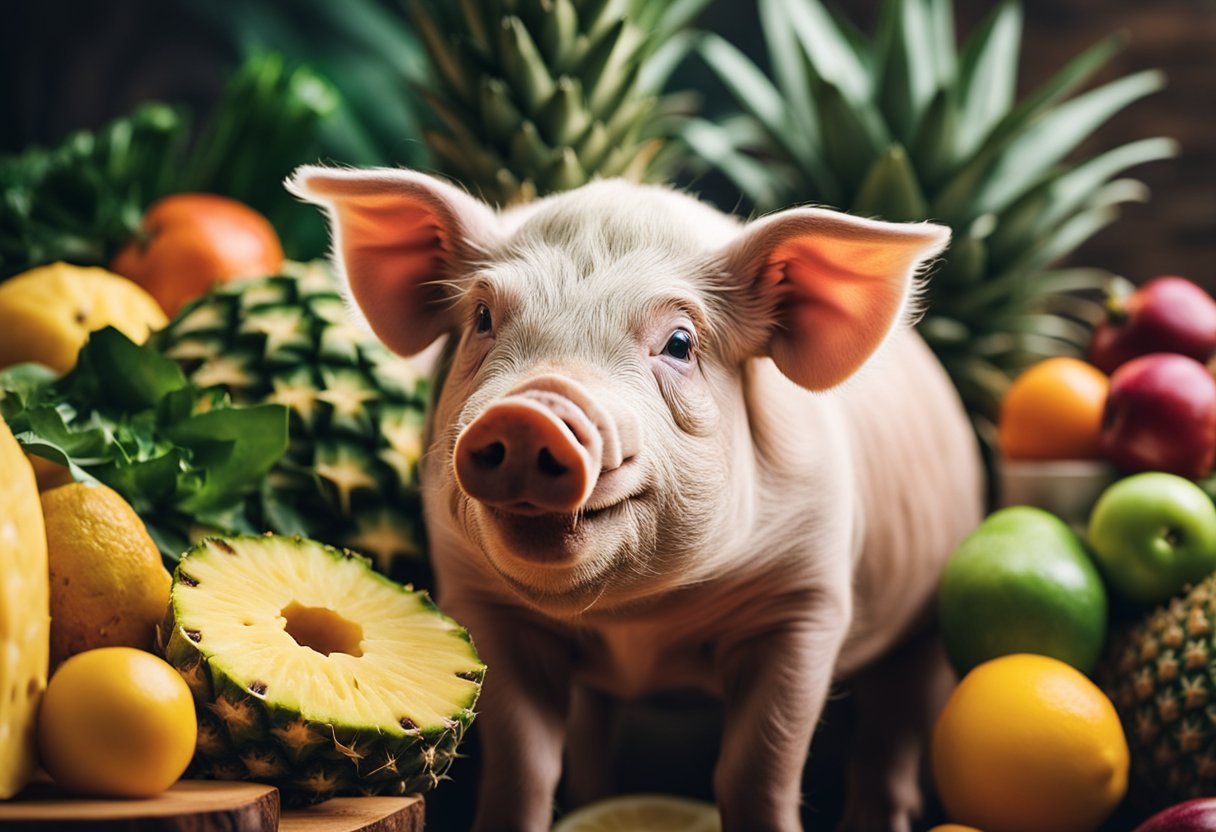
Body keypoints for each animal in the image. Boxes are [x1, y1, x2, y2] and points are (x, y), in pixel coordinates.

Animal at [287, 165, 985, 832]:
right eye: (483, 319)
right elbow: (524, 762)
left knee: (899, 721)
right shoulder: (485, 605)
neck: (636, 624)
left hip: (929, 609)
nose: (531, 411)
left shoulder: (805, 602)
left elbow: (756, 770)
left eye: (679, 343)